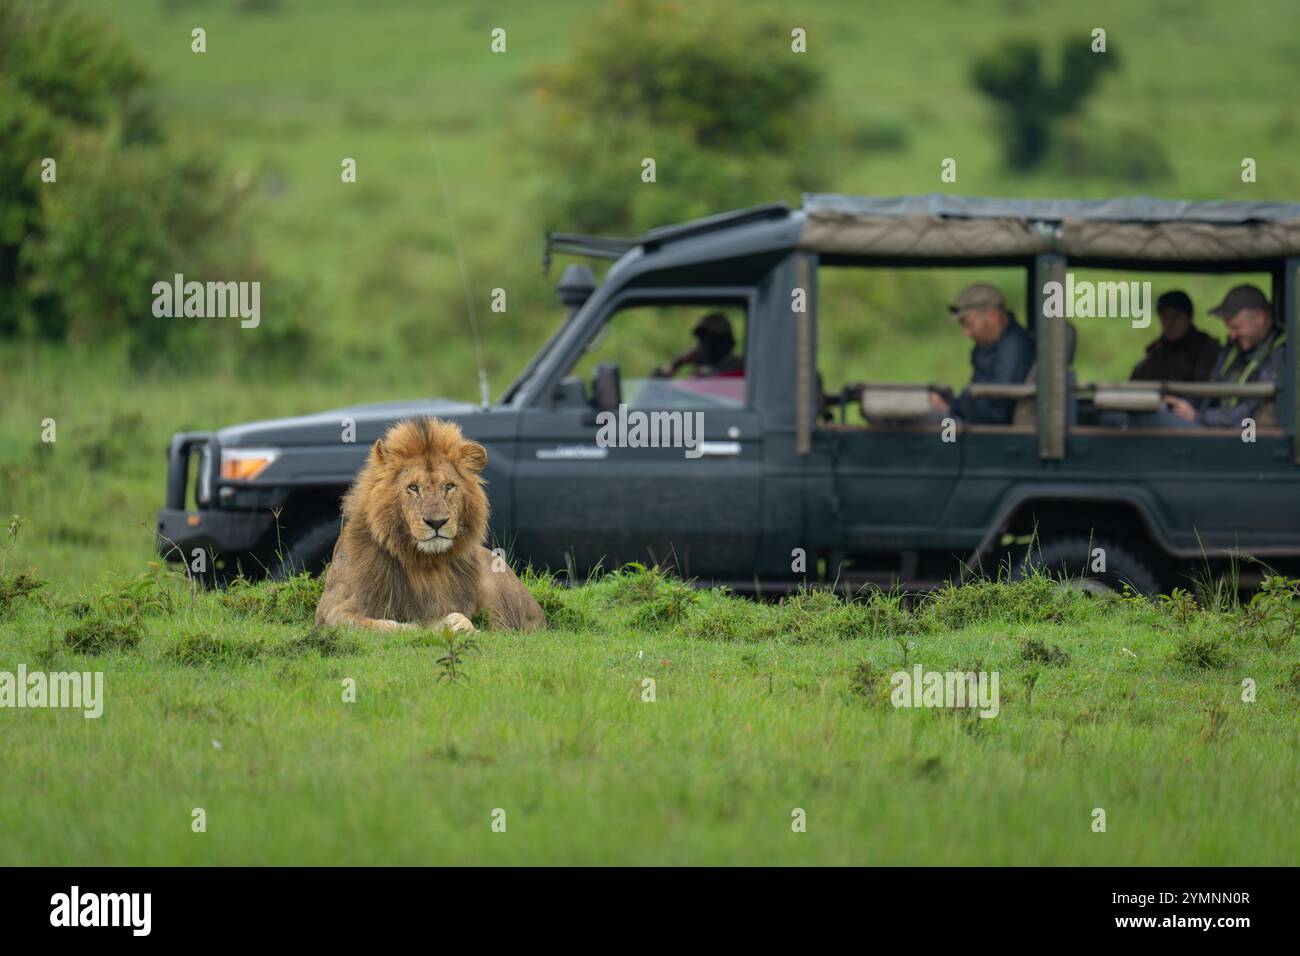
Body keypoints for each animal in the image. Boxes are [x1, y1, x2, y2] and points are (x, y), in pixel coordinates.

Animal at [315, 416, 545, 633]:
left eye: (449, 486)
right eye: (413, 487)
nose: (437, 522)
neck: (423, 563)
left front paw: (458, 626)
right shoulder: (329, 610)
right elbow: (381, 625)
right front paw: (427, 627)